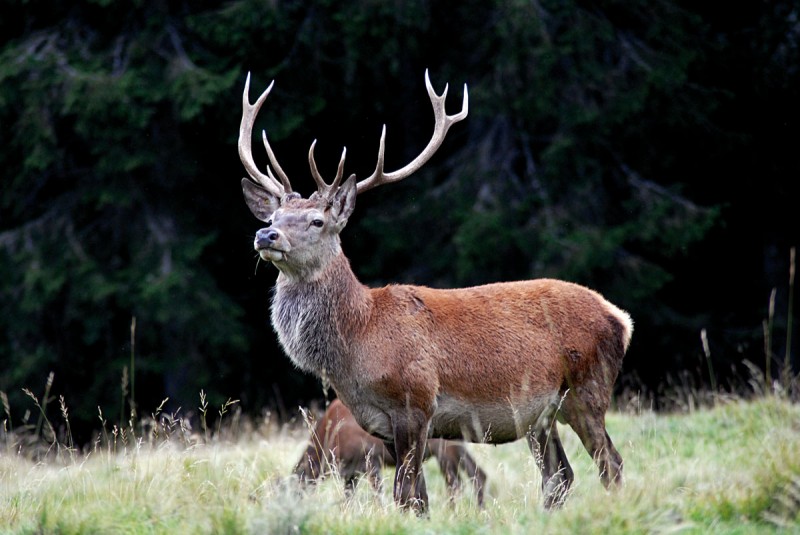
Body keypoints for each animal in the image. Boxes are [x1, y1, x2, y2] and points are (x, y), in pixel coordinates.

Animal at [294, 399, 487, 505]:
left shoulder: (370, 458)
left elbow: (378, 494)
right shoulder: (351, 473)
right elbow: (348, 499)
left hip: (445, 449)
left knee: (455, 483)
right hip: (456, 447)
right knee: (476, 475)